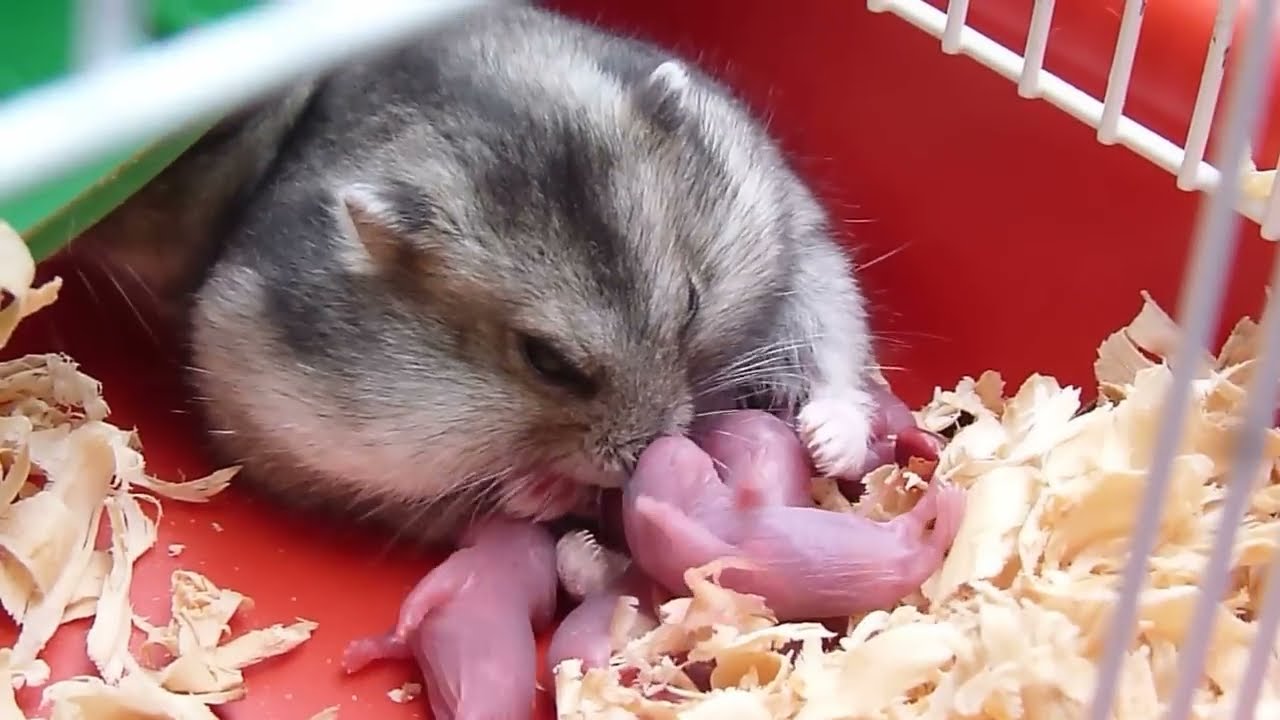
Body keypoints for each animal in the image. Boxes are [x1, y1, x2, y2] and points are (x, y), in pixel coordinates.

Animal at [69, 3, 881, 544]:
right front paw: (545, 485)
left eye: (690, 303)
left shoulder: (791, 224)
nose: (652, 450)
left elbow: (835, 340)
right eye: (547, 362)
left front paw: (826, 442)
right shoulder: (295, 432)